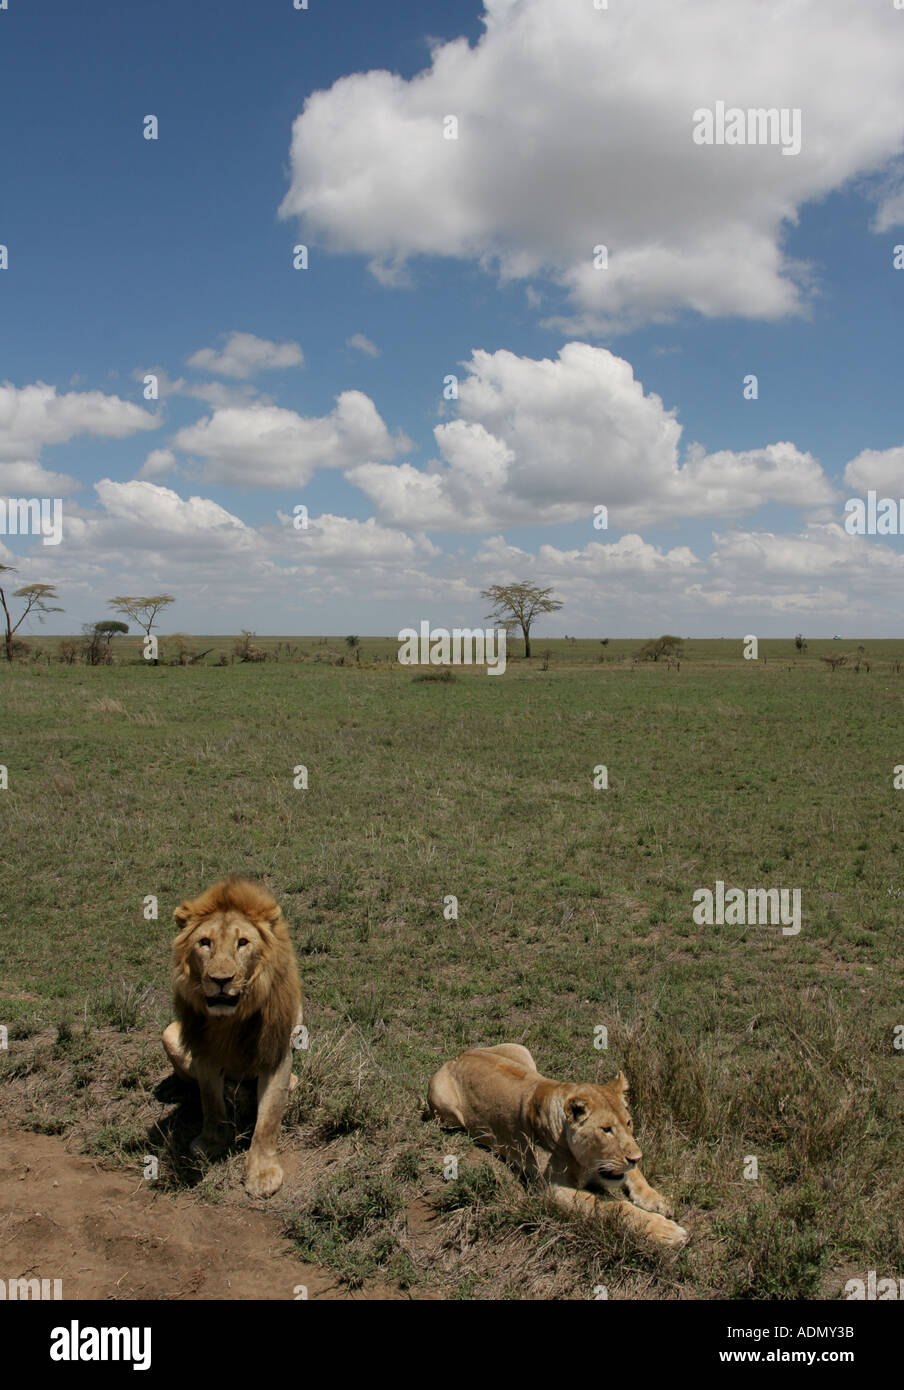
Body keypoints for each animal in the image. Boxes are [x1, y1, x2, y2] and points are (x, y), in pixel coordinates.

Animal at [161, 877, 303, 1198]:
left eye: (243, 943)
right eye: (205, 943)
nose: (221, 980)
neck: (231, 1020)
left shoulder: (276, 1051)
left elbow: (268, 1120)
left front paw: (262, 1173)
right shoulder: (205, 1053)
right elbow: (211, 1103)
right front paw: (212, 1142)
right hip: (168, 1034)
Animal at [427, 1044, 687, 1248]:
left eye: (629, 1122)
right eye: (606, 1129)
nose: (636, 1158)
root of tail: (456, 1056)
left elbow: (635, 1176)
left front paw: (657, 1200)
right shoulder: (553, 1191)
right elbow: (612, 1206)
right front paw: (666, 1230)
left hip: (521, 1050)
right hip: (447, 1114)